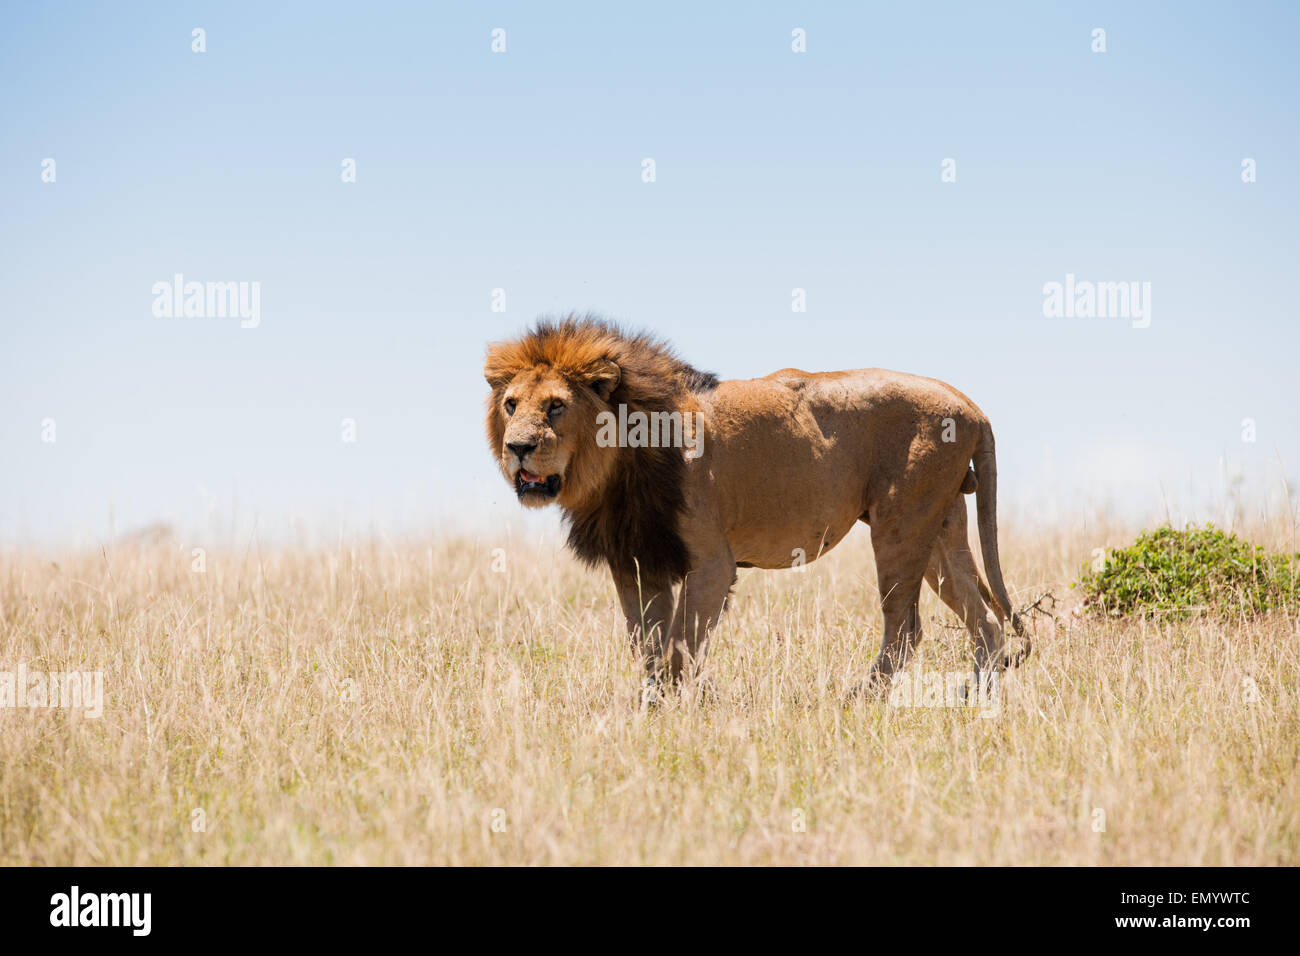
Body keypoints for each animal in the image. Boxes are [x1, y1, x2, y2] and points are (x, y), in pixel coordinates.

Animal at [484, 315, 1028, 699]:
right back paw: (976, 697)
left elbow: (679, 643)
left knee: (906, 626)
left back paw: (860, 698)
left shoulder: (711, 563)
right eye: (511, 404)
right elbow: (650, 645)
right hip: (939, 527)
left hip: (901, 523)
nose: (518, 447)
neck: (616, 464)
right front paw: (652, 704)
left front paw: (679, 707)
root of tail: (969, 405)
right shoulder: (638, 561)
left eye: (556, 406)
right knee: (985, 621)